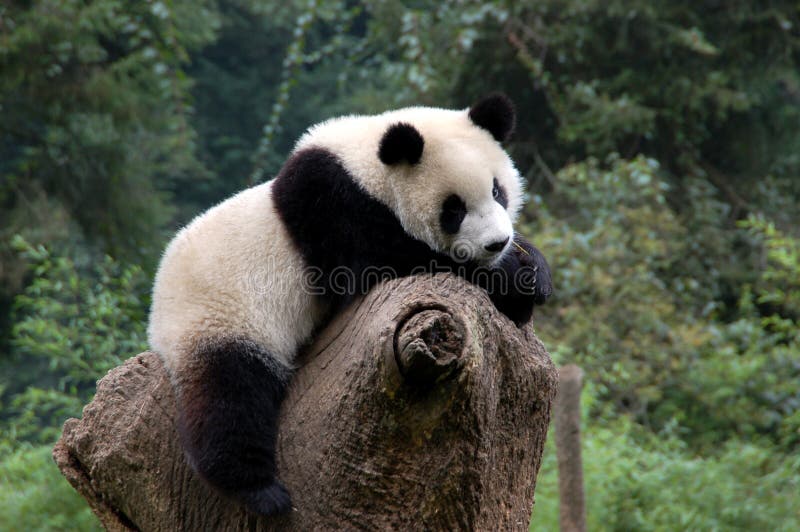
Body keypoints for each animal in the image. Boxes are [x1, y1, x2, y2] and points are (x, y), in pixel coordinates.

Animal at [147, 93, 552, 516]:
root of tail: (156, 313)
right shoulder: (333, 208)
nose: (496, 243)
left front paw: (532, 268)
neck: (367, 172)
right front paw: (510, 281)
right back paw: (258, 489)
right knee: (230, 394)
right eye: (453, 209)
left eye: (498, 191)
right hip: (219, 317)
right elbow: (383, 261)